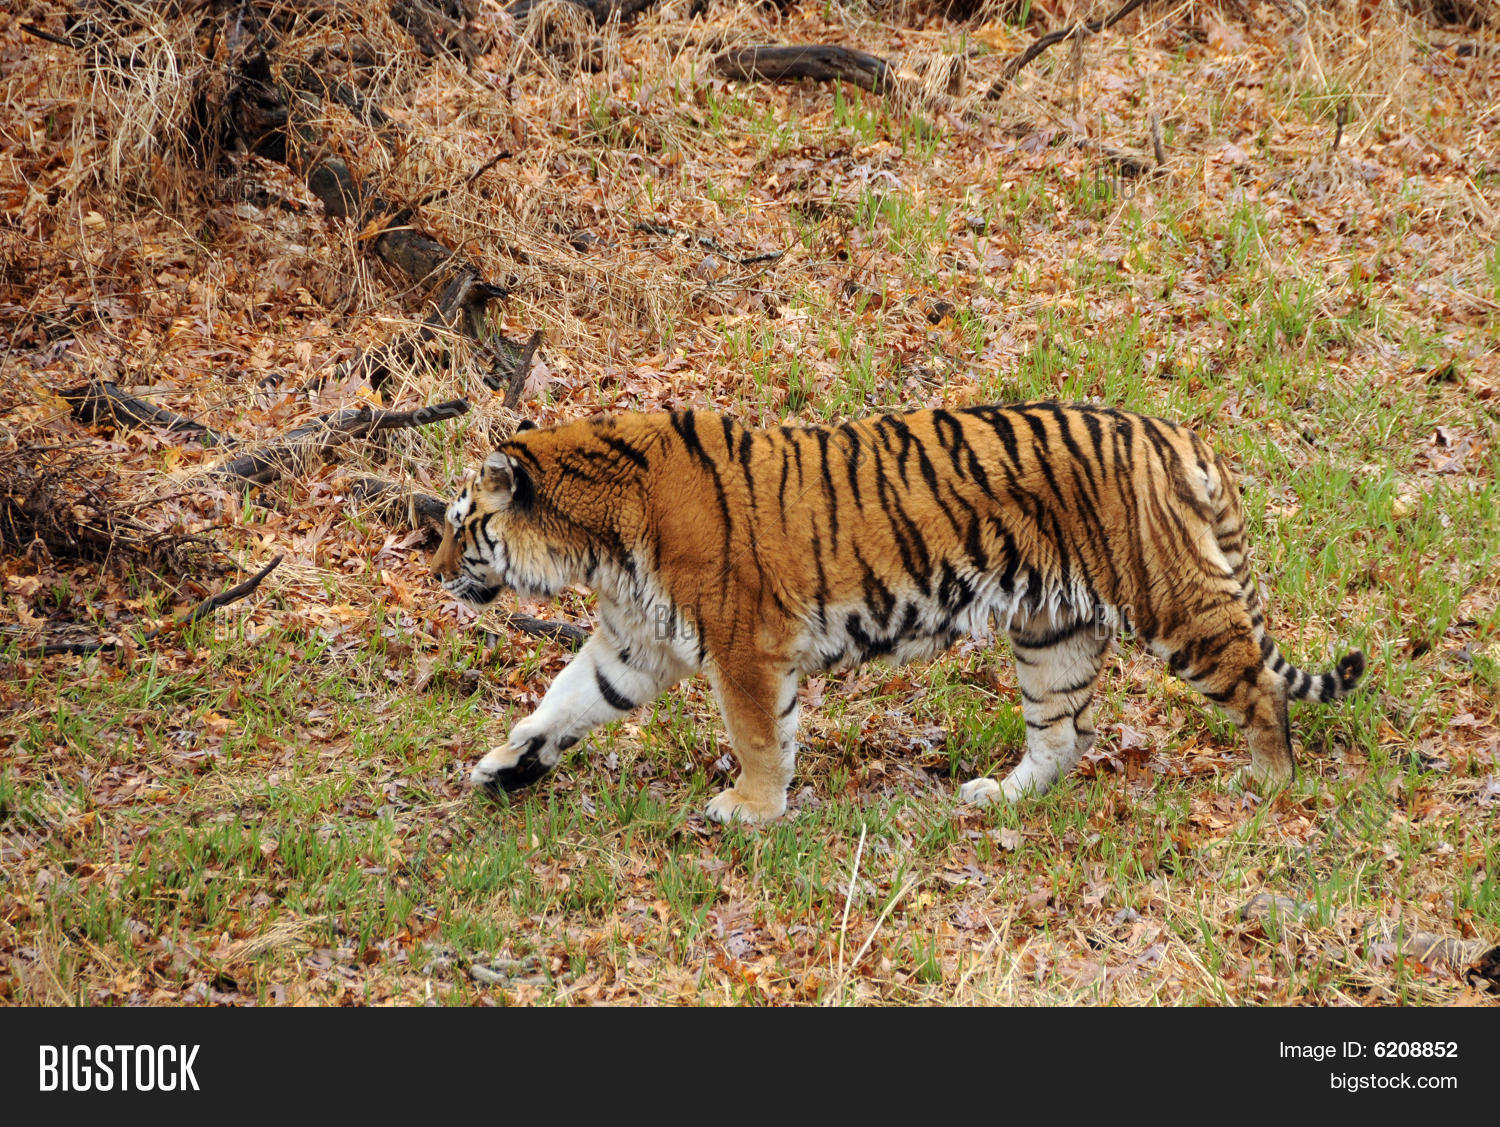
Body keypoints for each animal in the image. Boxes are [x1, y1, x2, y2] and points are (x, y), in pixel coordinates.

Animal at [429, 403, 1365, 824]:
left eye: (461, 525)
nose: (431, 570)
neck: (595, 538)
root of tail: (1181, 436)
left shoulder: (744, 644)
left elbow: (757, 735)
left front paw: (751, 809)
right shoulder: (632, 646)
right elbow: (562, 702)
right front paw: (504, 765)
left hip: (1172, 603)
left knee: (1257, 684)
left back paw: (1267, 781)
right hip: (1051, 632)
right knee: (1062, 736)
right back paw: (998, 795)